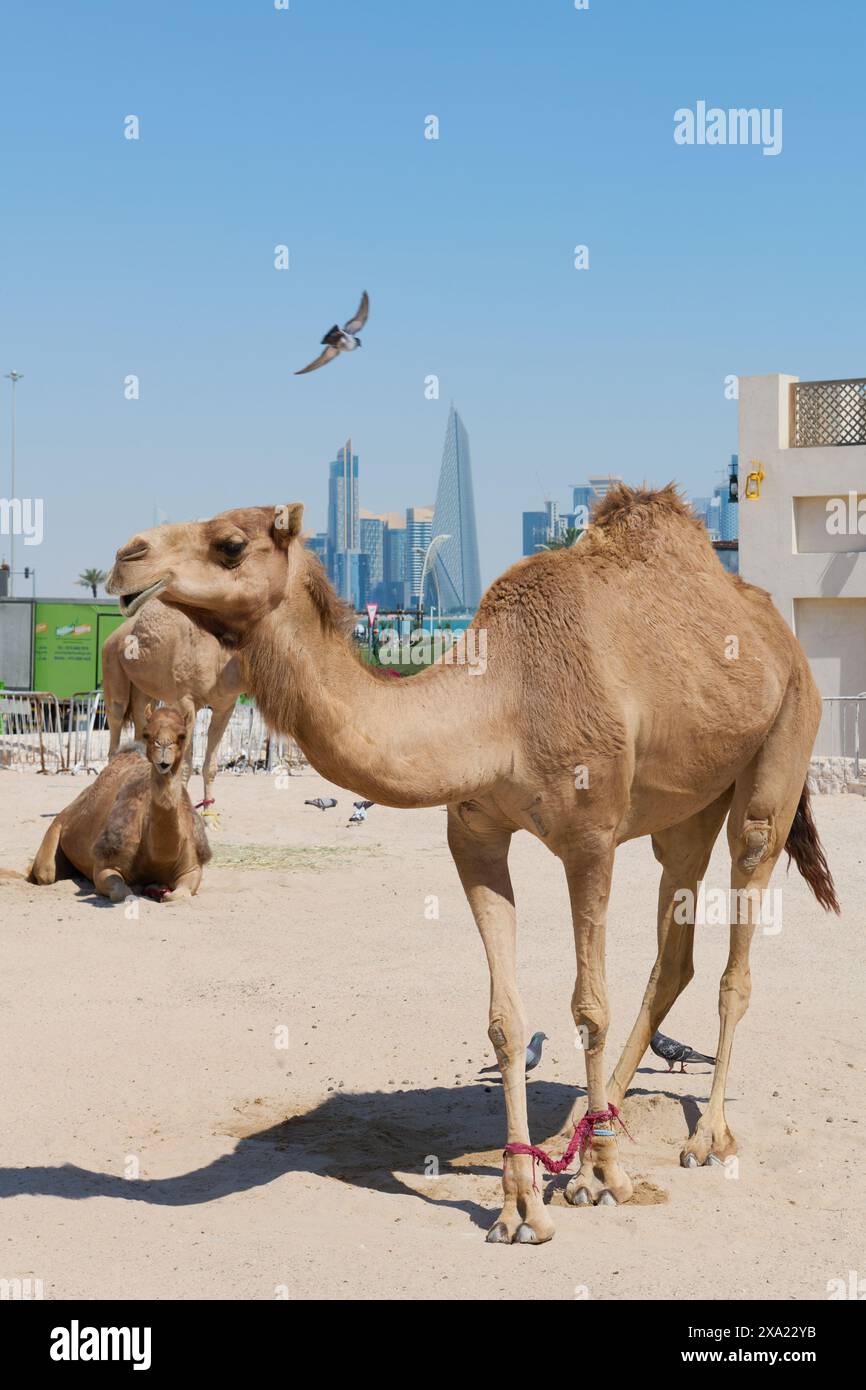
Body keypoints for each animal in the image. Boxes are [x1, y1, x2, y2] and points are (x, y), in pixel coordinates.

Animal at [29, 703, 211, 903]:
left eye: (182, 735)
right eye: (146, 734)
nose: (163, 751)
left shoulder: (192, 868)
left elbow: (179, 894)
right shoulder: (105, 867)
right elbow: (121, 891)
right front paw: (141, 886)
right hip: (55, 830)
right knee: (45, 872)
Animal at [102, 600, 244, 806]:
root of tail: (113, 636)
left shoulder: (225, 706)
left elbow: (210, 767)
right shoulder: (185, 700)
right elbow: (183, 765)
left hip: (144, 688)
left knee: (140, 717)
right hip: (112, 663)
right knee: (116, 718)